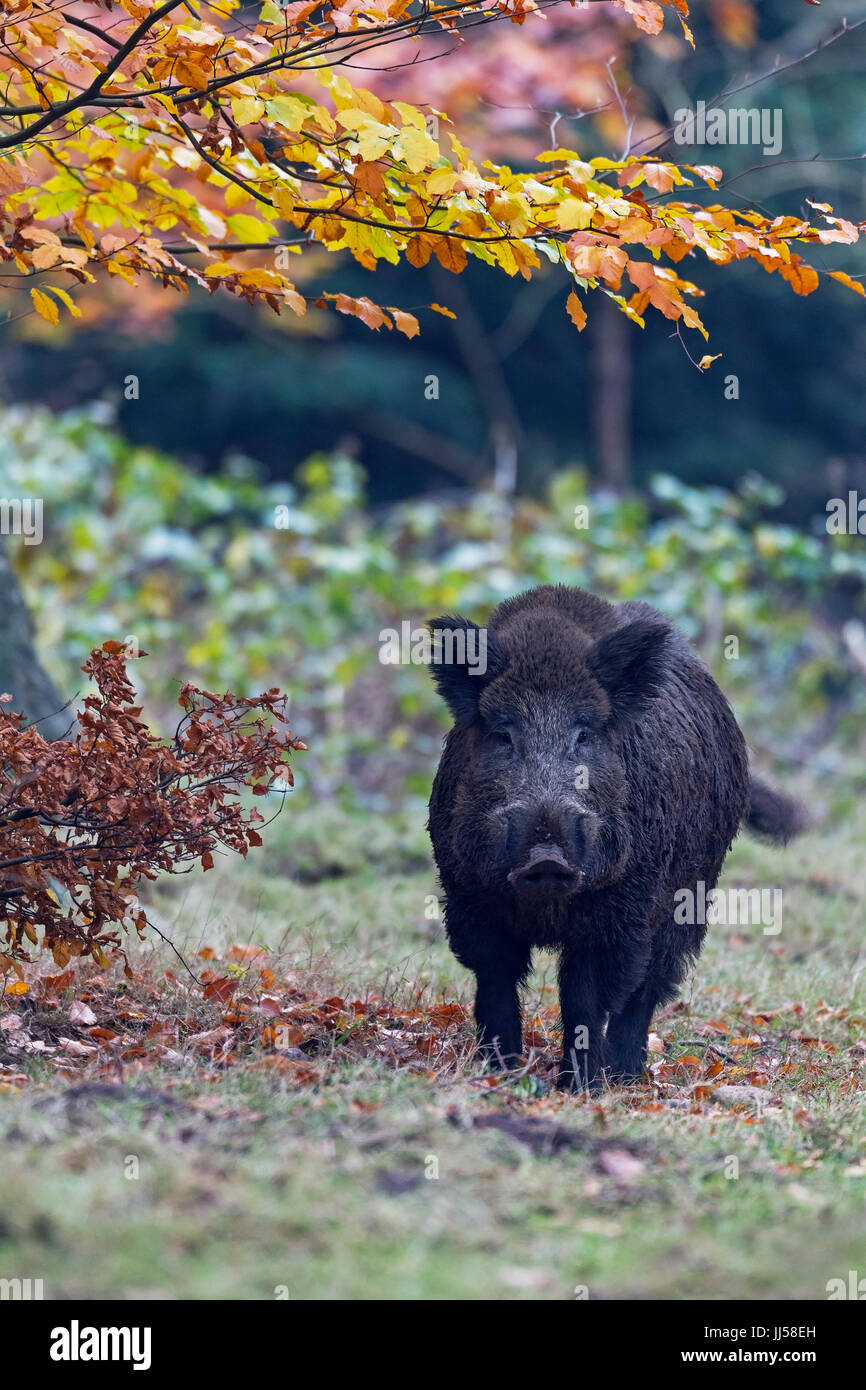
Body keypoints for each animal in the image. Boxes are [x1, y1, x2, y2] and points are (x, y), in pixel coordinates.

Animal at [426, 584, 803, 1091]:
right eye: (504, 734)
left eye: (584, 734)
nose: (546, 857)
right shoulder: (470, 897)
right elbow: (496, 980)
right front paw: (499, 1073)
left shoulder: (622, 910)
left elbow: (585, 996)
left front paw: (579, 1088)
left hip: (690, 898)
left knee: (651, 984)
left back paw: (626, 1076)